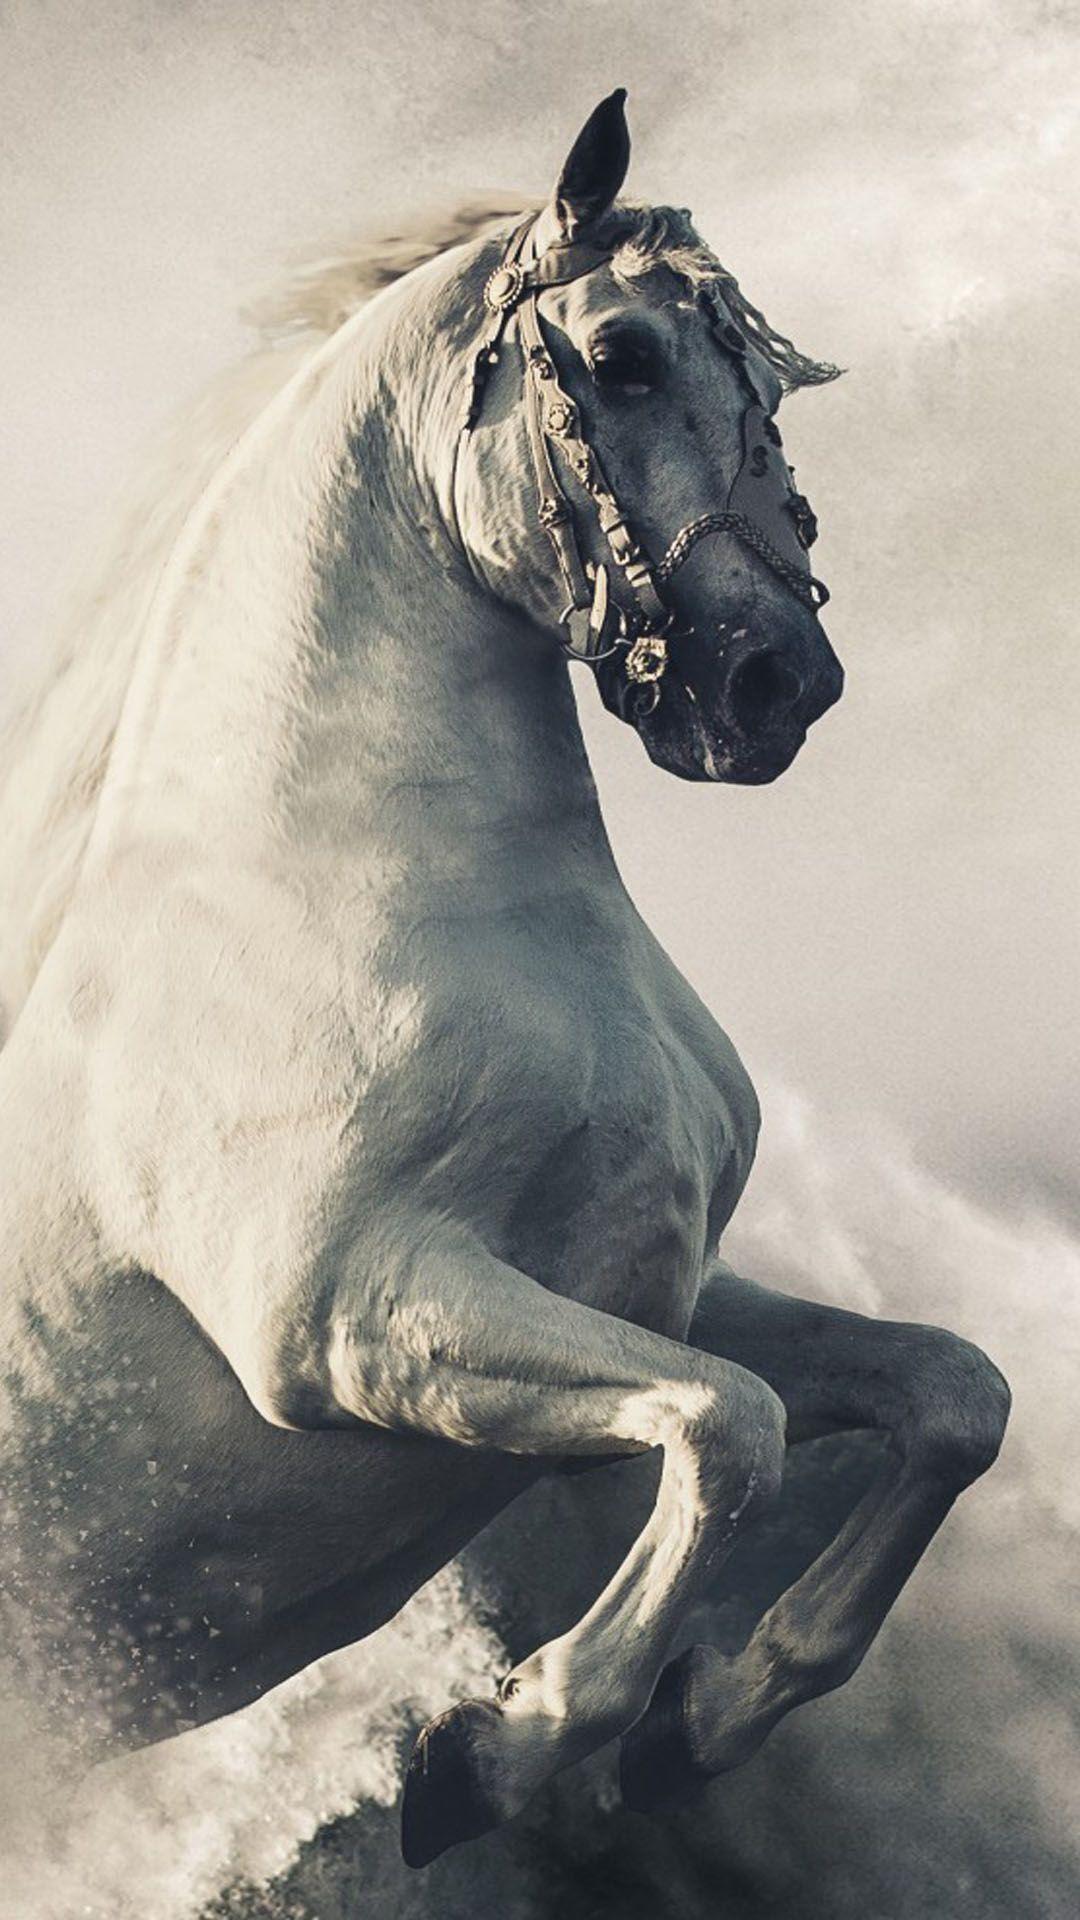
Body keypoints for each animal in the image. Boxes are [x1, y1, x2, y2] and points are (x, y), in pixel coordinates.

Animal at [0, 91, 1009, 1869]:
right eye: (619, 358)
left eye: (770, 389)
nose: (779, 684)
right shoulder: (365, 1321)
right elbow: (730, 1430)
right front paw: (499, 1744)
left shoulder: (653, 1286)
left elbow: (948, 1392)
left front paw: (700, 1722)